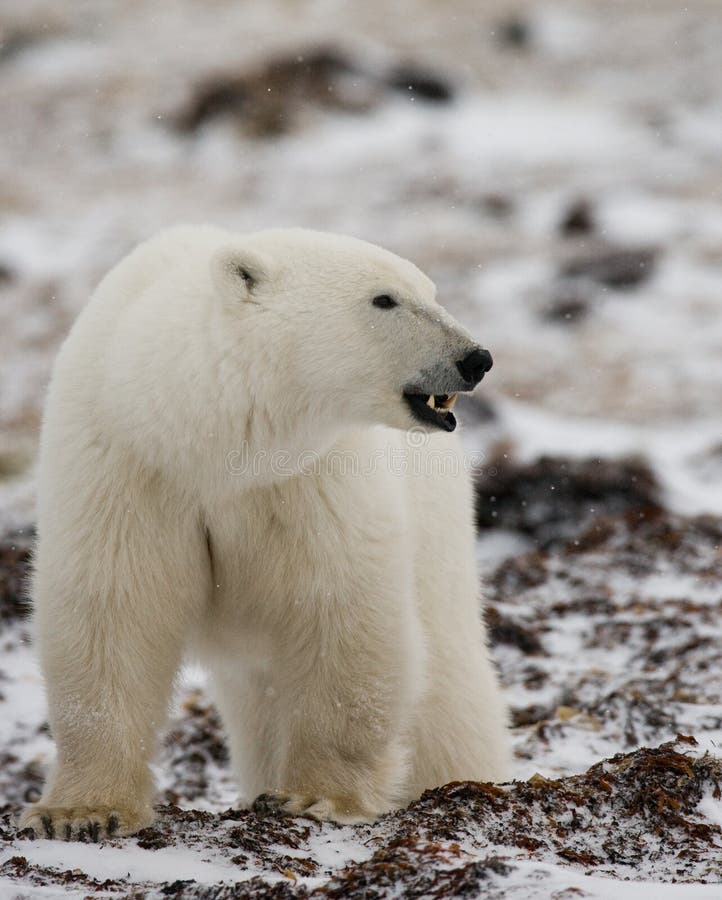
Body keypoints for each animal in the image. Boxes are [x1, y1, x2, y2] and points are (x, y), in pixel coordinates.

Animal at [20, 225, 510, 840]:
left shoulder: (309, 476)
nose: (476, 358)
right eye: (384, 299)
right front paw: (80, 812)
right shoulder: (126, 465)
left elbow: (341, 610)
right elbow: (113, 608)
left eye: (431, 291)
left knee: (447, 682)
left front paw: (314, 796)